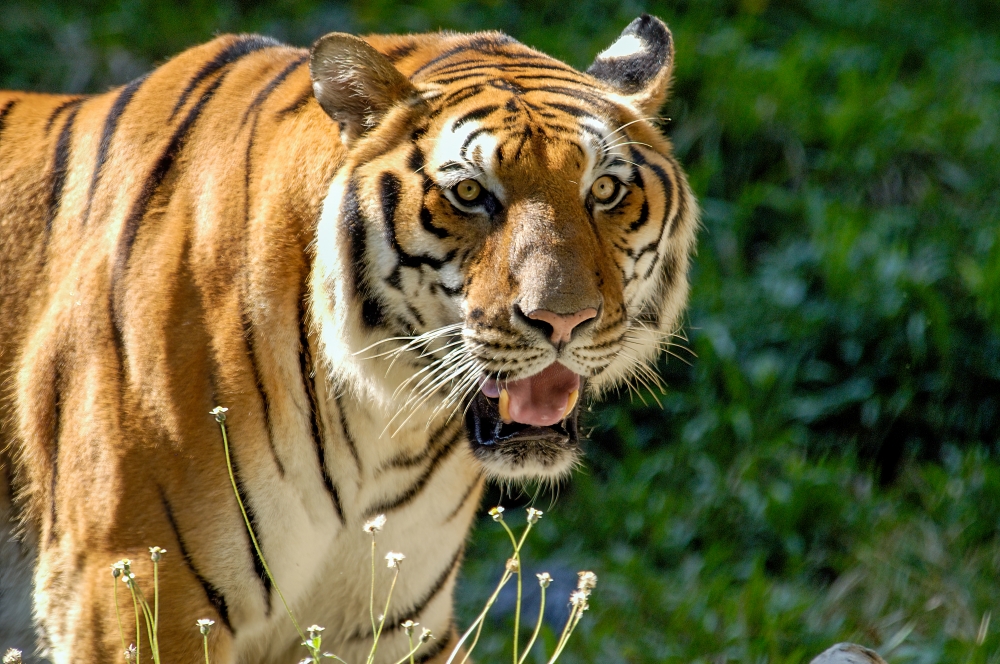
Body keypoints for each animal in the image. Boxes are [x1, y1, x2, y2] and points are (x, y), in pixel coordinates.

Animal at [0, 14, 698, 664]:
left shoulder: (391, 621)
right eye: (470, 193)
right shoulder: (128, 591)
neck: (385, 425)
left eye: (604, 189)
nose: (563, 320)